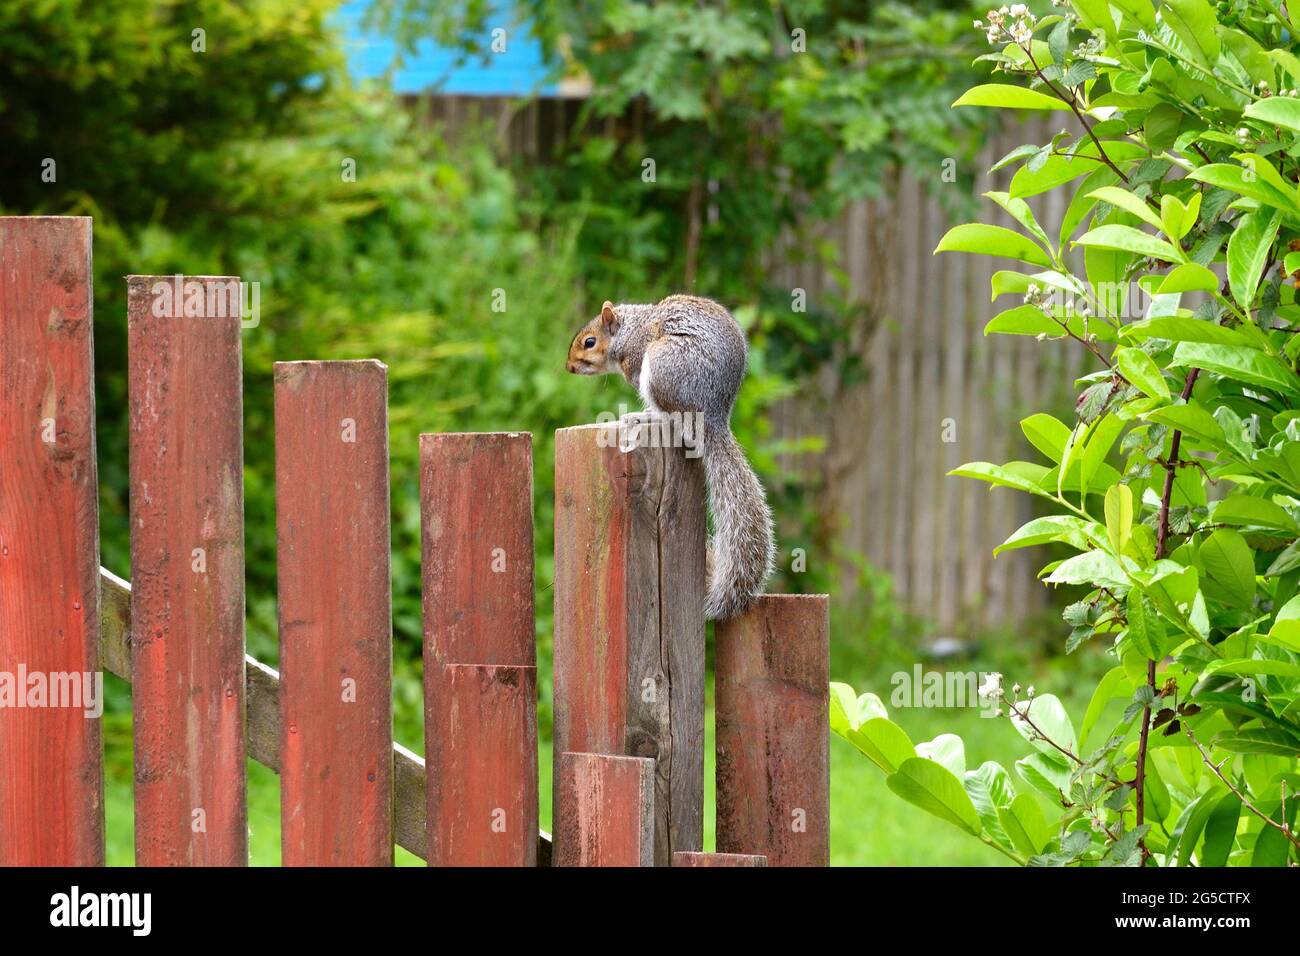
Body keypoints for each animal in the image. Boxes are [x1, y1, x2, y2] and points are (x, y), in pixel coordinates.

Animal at [566, 294, 775, 620]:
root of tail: (712, 418)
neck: (628, 329)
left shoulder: (637, 357)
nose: (570, 367)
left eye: (589, 342)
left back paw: (644, 417)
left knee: (672, 420)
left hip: (663, 368)